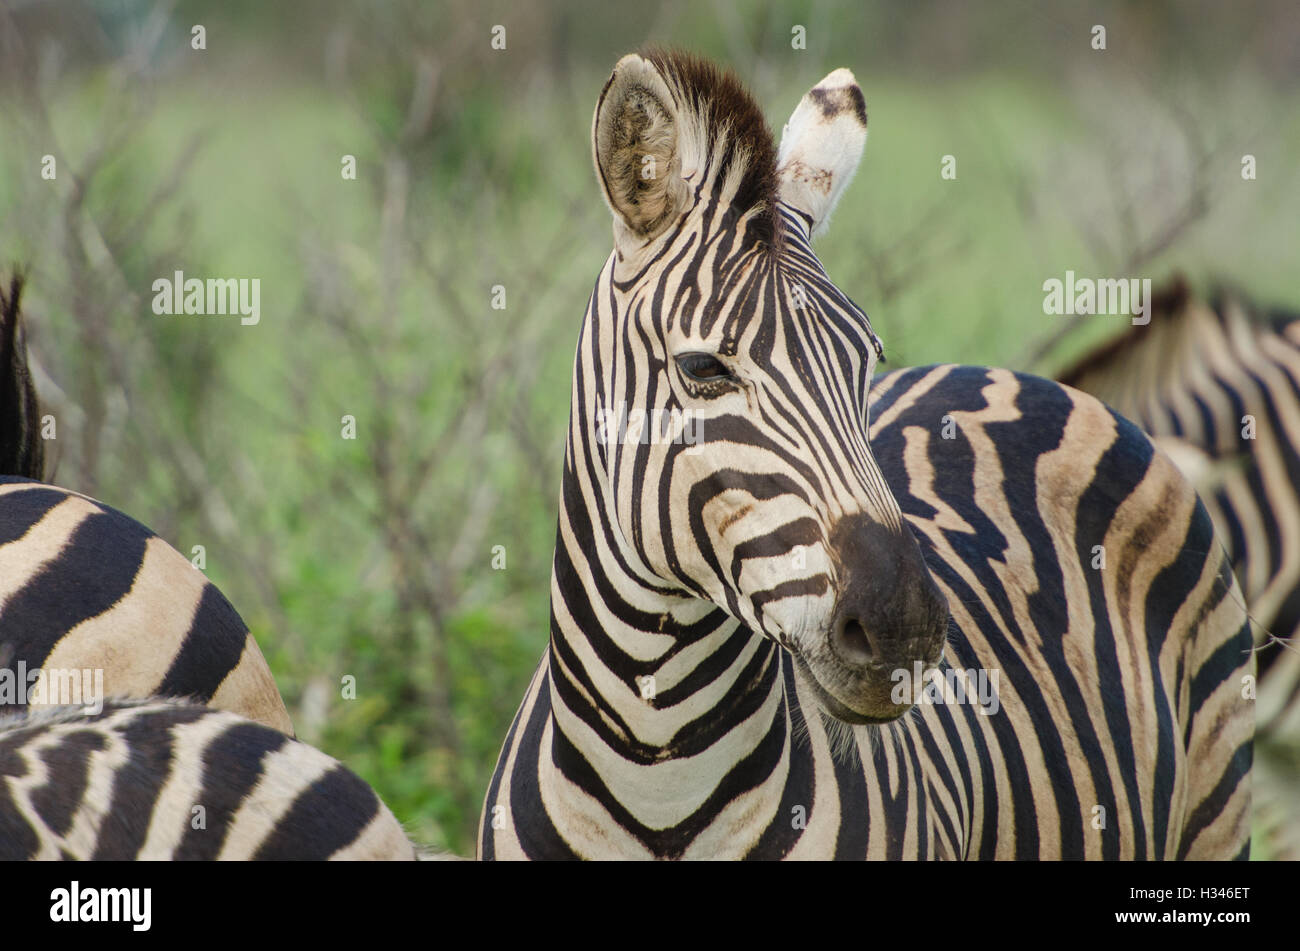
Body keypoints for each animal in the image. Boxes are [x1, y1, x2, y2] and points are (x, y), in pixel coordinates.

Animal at [477, 50, 1254, 860]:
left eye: (866, 363)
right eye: (701, 368)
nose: (902, 634)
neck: (659, 777)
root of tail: (1018, 376)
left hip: (1219, 807)